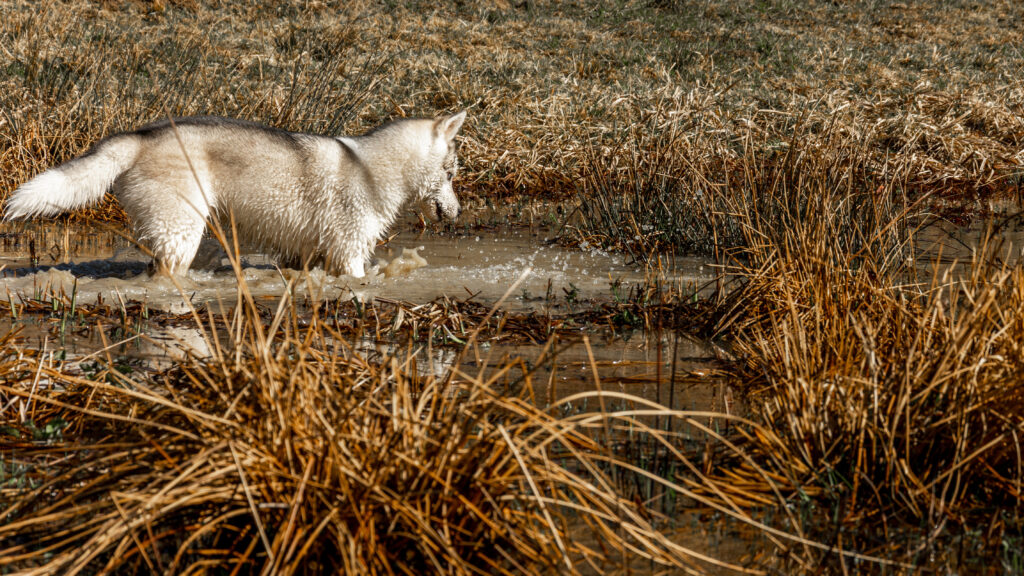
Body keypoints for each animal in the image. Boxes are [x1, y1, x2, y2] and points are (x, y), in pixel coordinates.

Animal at [4, 111, 467, 278]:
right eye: (451, 174)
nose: (458, 213)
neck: (372, 169)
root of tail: (141, 135)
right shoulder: (349, 253)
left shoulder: (307, 256)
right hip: (182, 235)